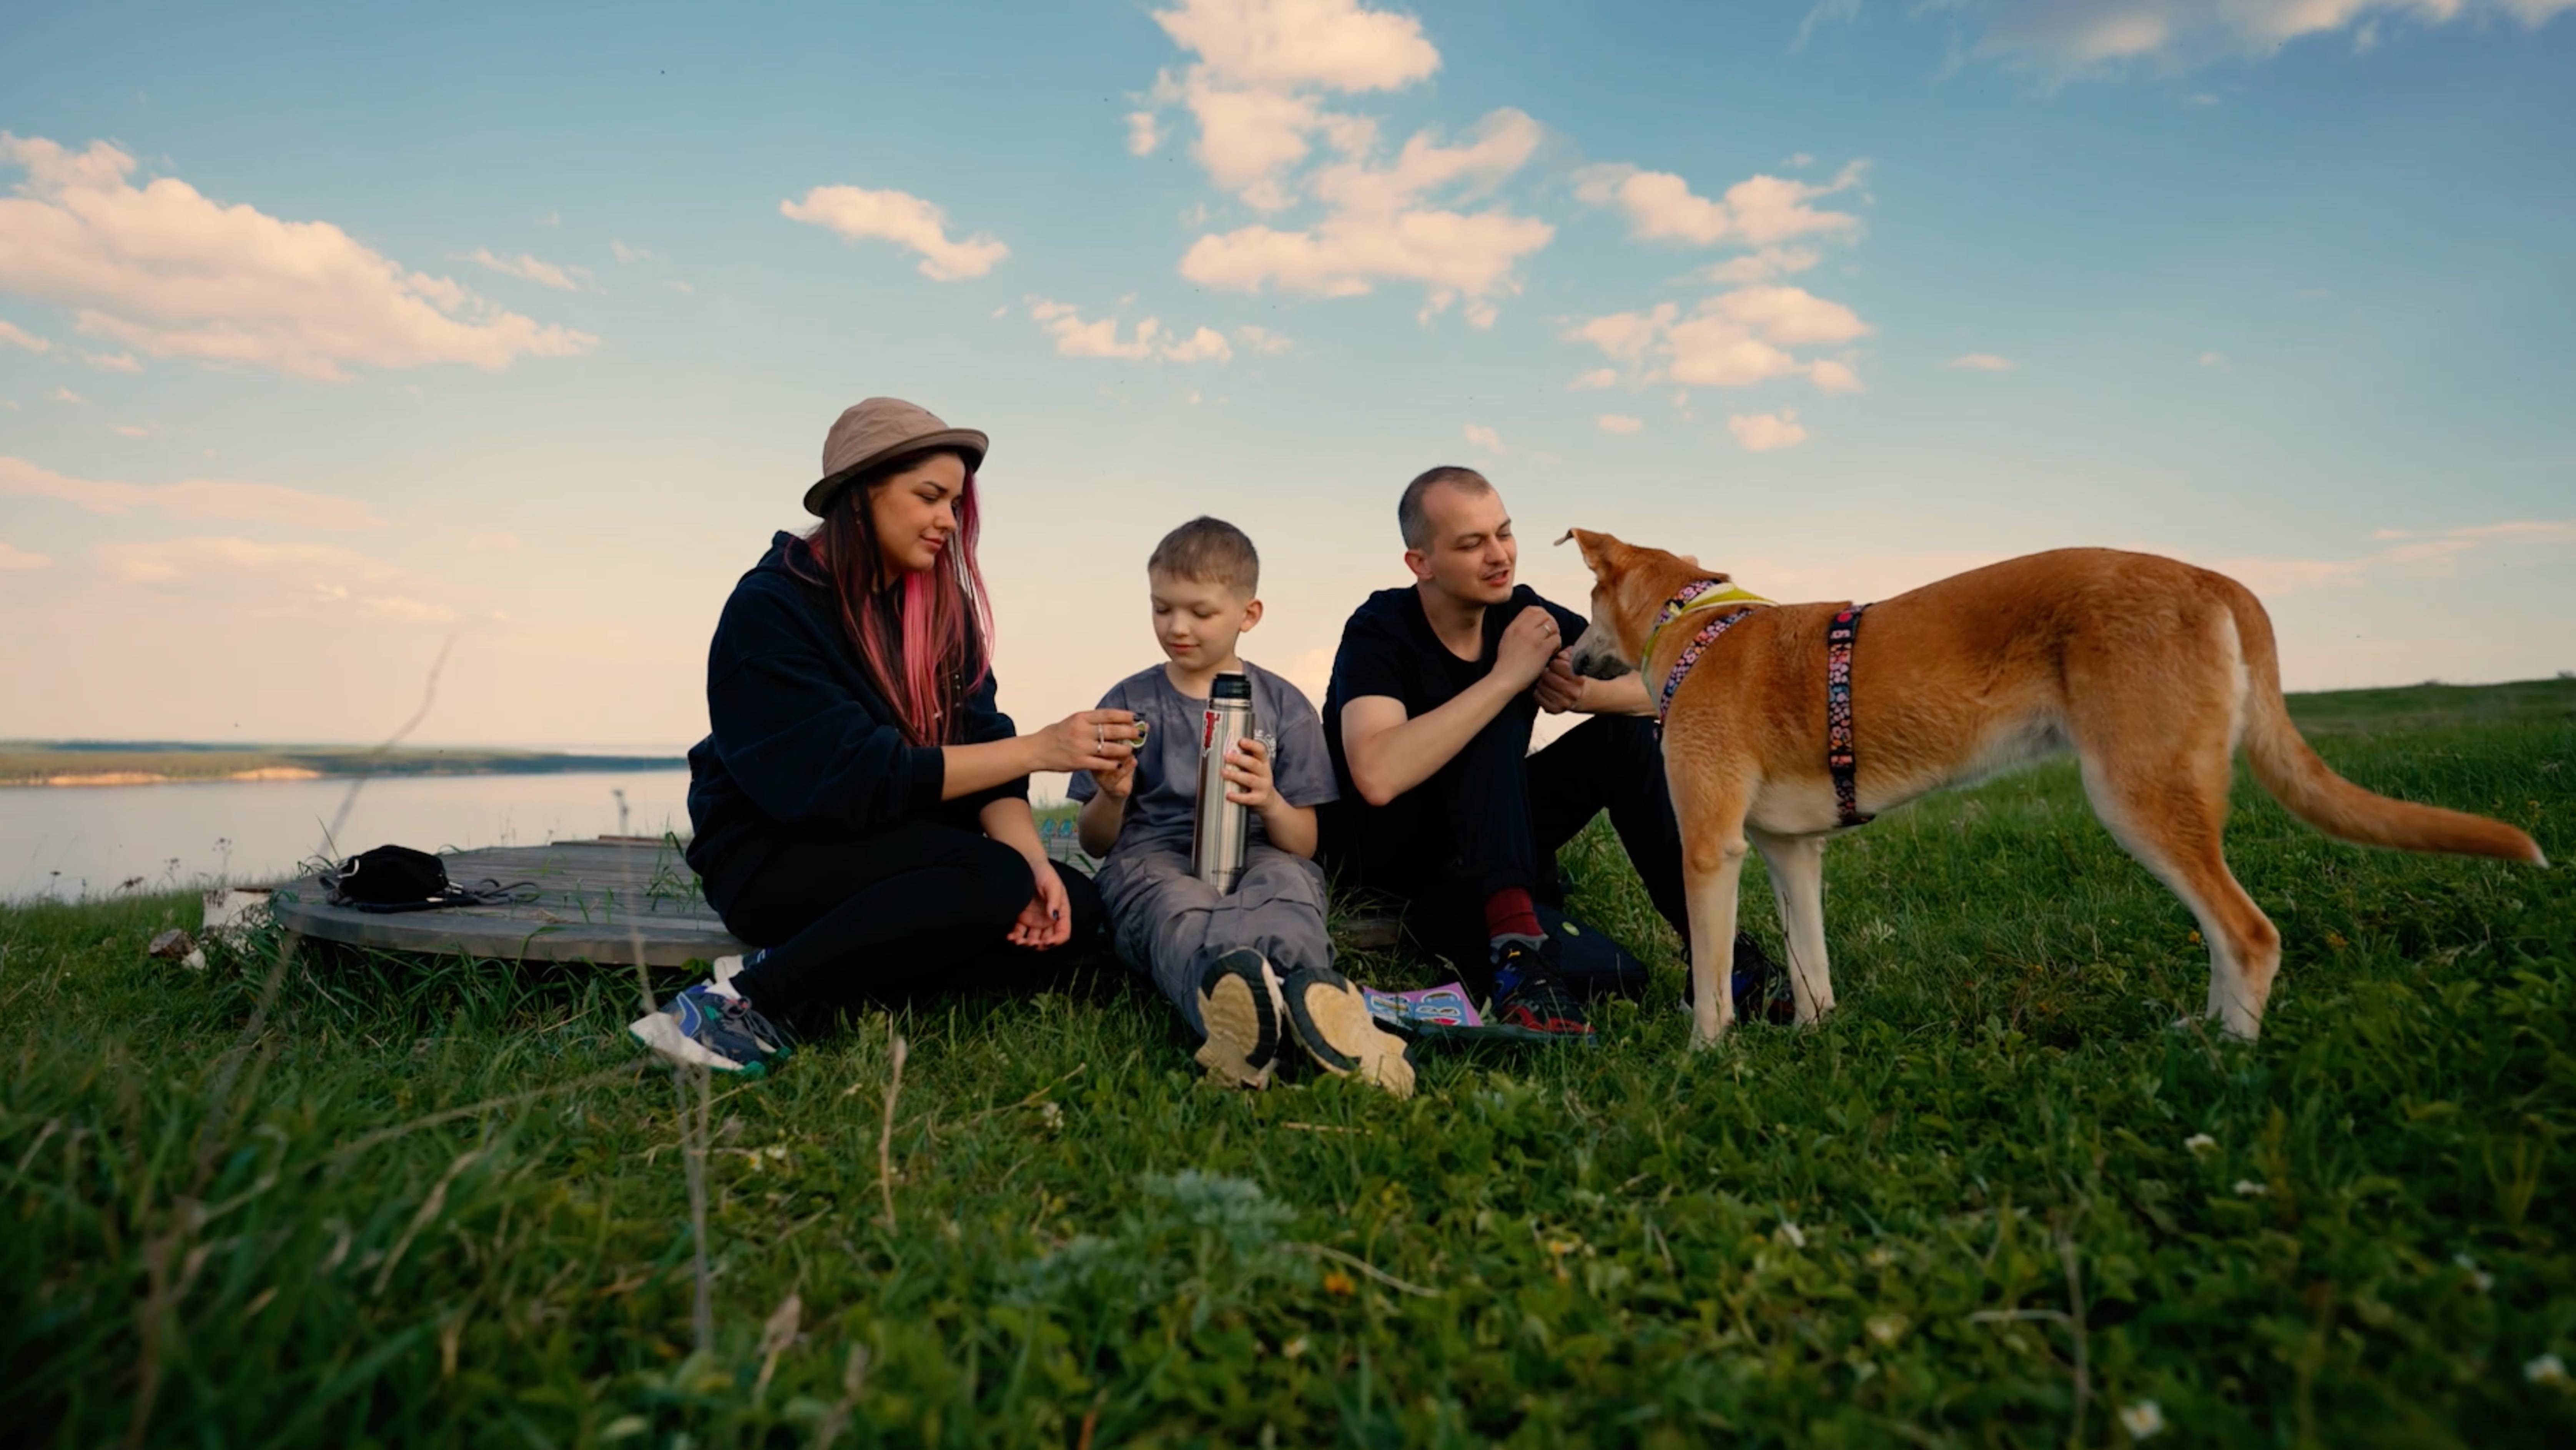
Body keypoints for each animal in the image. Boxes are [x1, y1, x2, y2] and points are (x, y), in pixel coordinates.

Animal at [1558, 533, 2546, 1048]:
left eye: (1584, 616)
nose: (1563, 654)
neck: (1692, 626)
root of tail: (2208, 574)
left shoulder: (1707, 847)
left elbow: (1710, 980)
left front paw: (1701, 1060)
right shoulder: (1790, 853)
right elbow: (1810, 967)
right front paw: (1812, 1040)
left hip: (2134, 794)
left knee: (2248, 932)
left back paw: (2224, 1056)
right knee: (2228, 934)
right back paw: (2200, 1030)